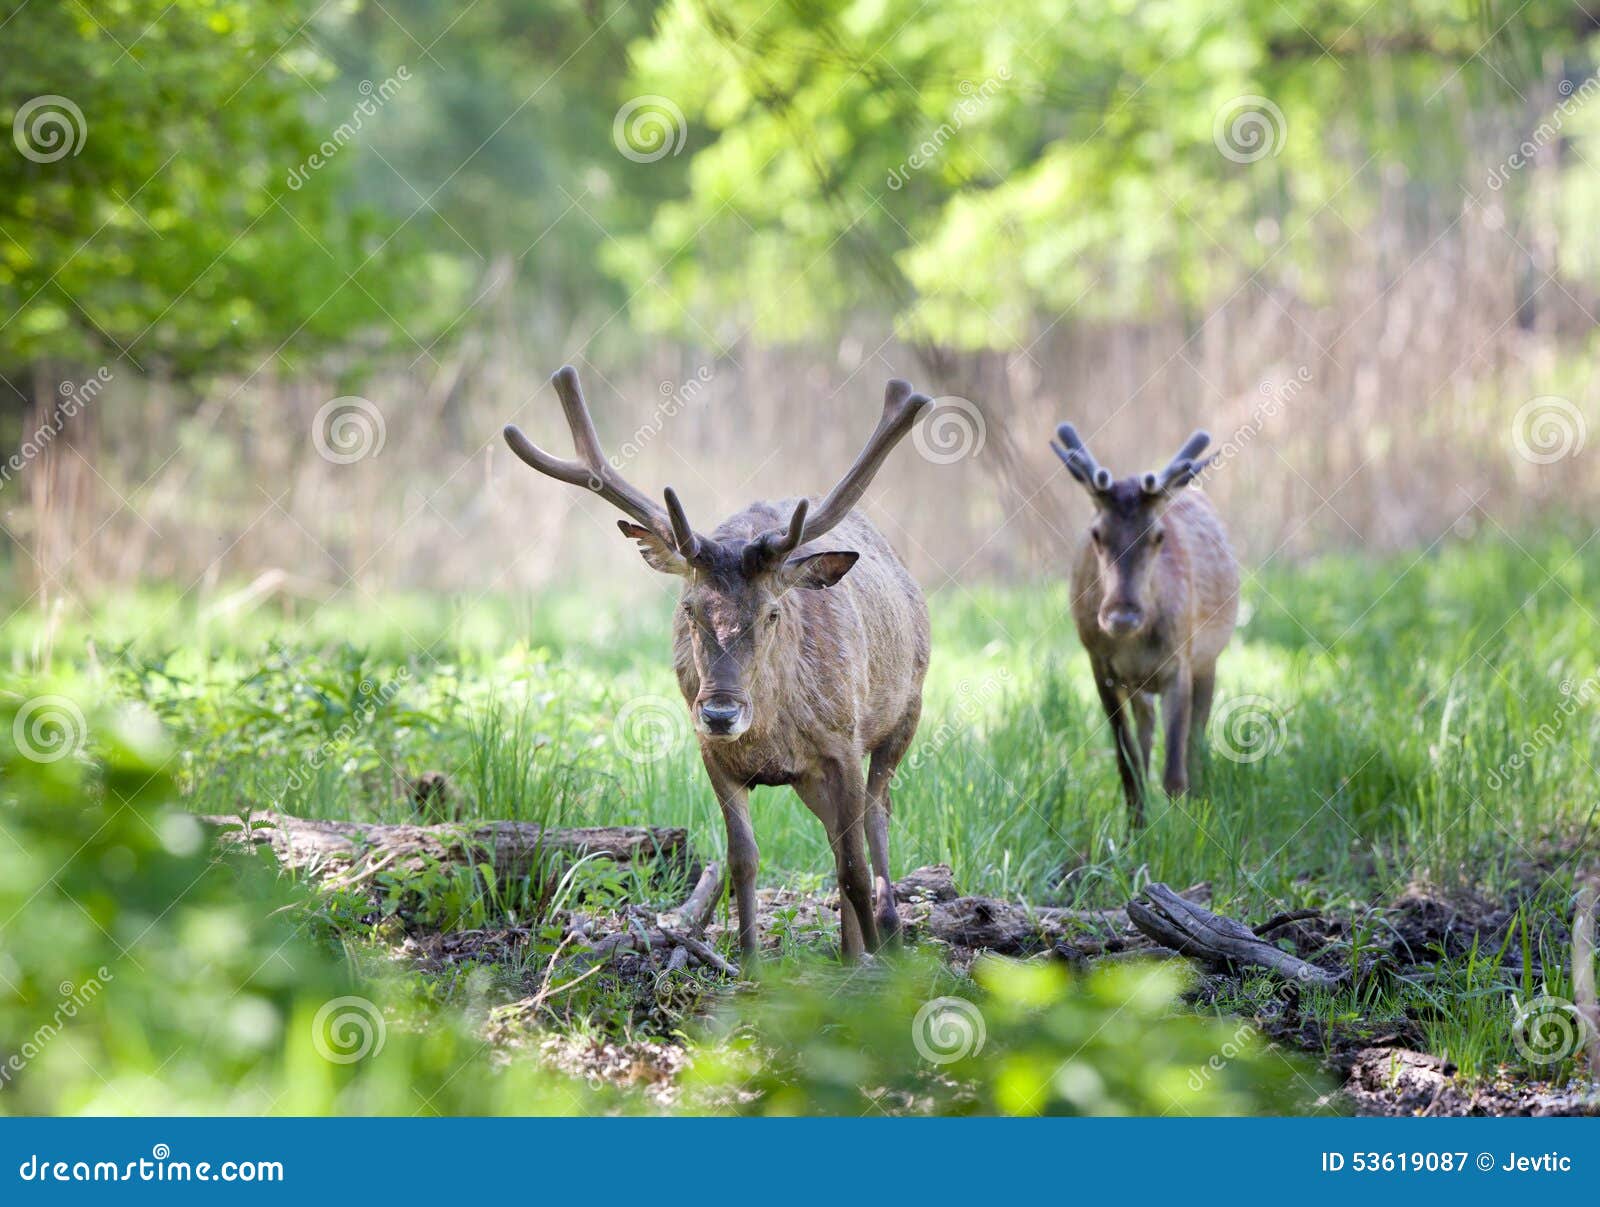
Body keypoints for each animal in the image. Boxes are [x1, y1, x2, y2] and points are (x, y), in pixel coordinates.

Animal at [503, 367, 932, 961]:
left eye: (773, 612)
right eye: (689, 608)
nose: (721, 713)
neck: (773, 736)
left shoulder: (842, 743)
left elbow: (852, 867)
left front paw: (866, 966)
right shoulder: (714, 756)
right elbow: (742, 860)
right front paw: (750, 964)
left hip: (907, 709)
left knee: (876, 816)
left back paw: (883, 931)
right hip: (812, 776)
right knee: (836, 831)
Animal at [1051, 423, 1239, 827]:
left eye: (1158, 535)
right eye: (1096, 533)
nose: (1122, 615)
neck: (1134, 644)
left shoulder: (1180, 663)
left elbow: (1175, 769)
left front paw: (1179, 830)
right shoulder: (1100, 667)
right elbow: (1128, 762)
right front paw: (1134, 830)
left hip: (1208, 660)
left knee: (1196, 740)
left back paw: (1199, 798)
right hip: (1139, 684)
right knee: (1146, 731)